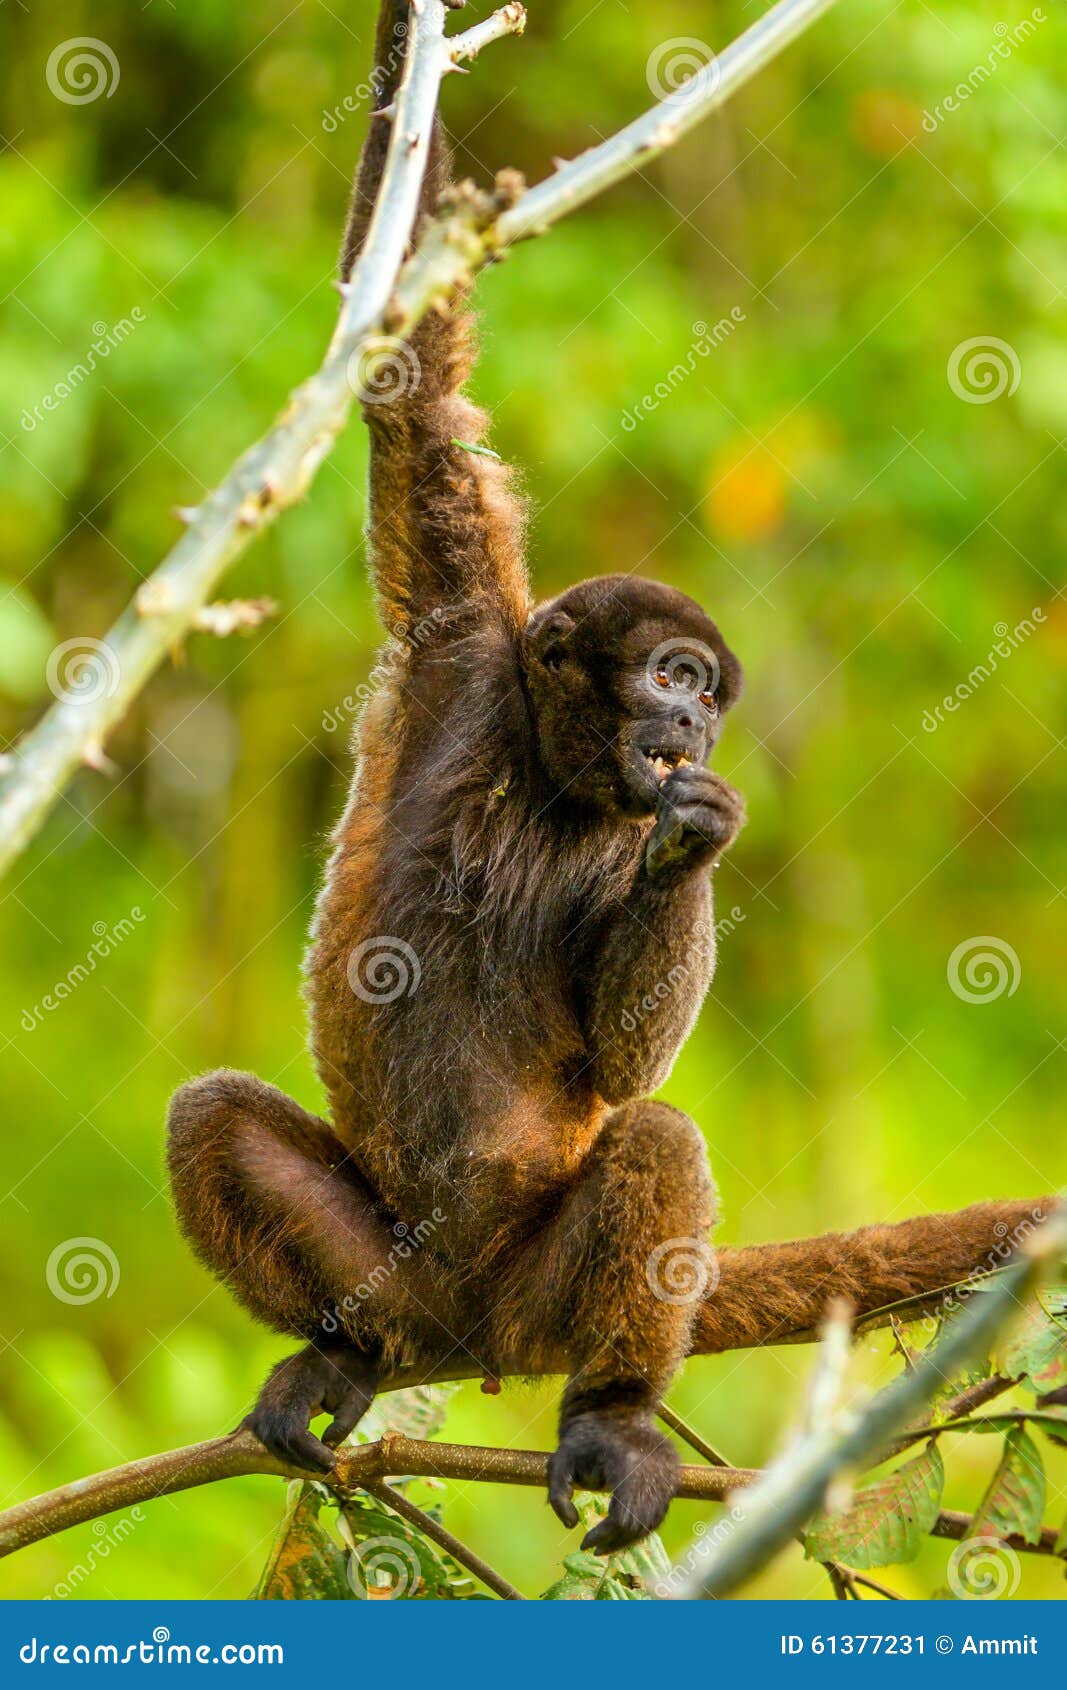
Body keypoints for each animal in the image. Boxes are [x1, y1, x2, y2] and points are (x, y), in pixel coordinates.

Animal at [167, 0, 1055, 1554]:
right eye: (672, 674)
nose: (692, 726)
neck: (555, 779)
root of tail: (462, 1326)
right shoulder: (463, 637)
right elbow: (413, 381)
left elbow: (626, 1063)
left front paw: (699, 843)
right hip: (382, 1260)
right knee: (213, 1117)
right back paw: (341, 1353)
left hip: (541, 1289)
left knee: (653, 1139)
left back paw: (614, 1410)